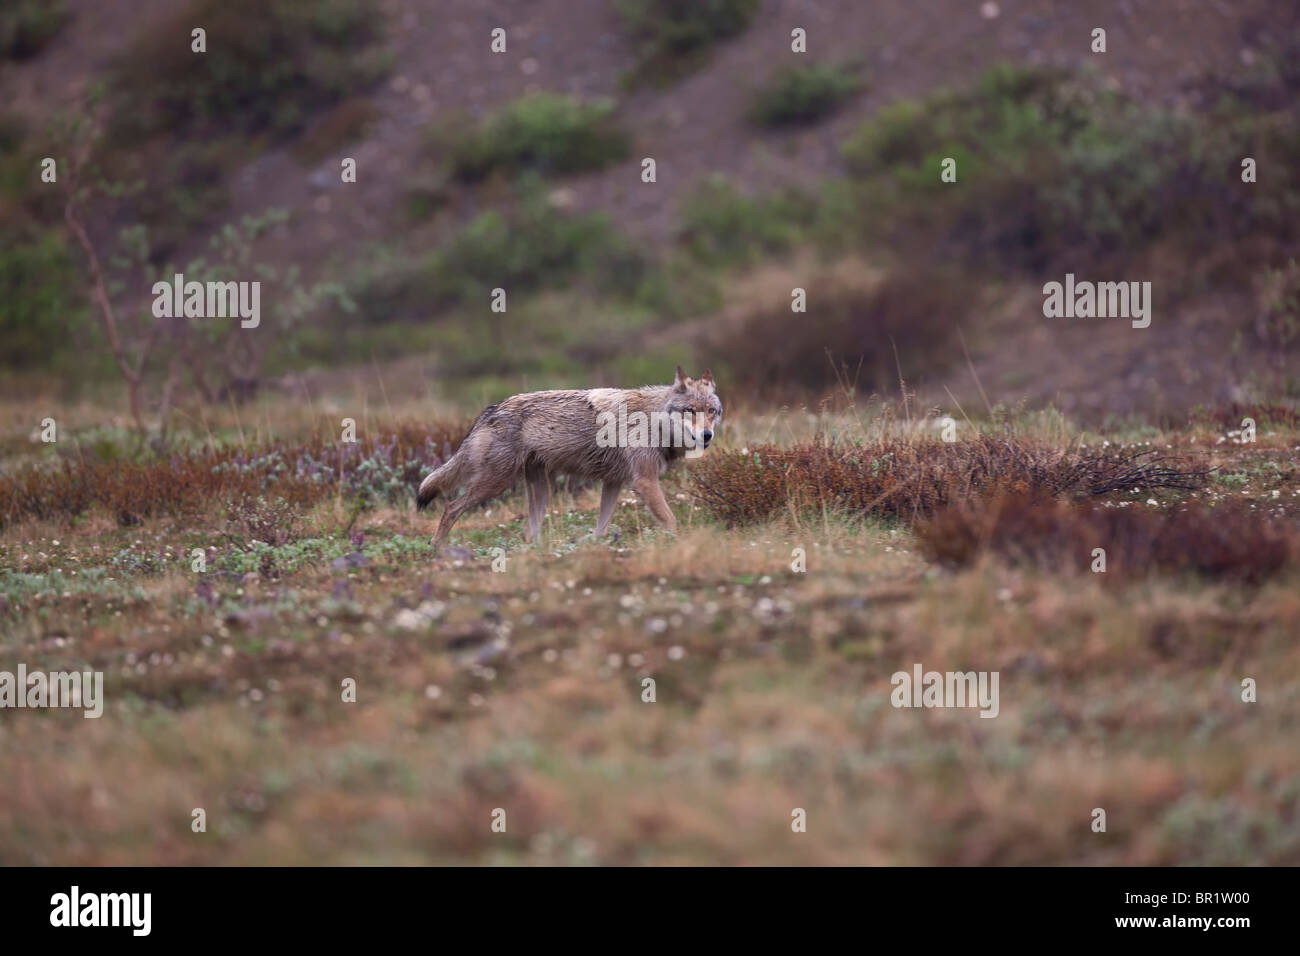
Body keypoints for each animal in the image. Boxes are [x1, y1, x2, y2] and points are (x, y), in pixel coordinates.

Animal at [417, 367, 722, 545]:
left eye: (711, 411)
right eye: (690, 411)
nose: (707, 435)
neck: (654, 419)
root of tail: (492, 409)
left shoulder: (614, 482)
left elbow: (601, 529)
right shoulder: (644, 482)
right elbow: (672, 522)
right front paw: (685, 543)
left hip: (540, 492)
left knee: (528, 533)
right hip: (496, 484)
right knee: (451, 507)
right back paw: (438, 549)